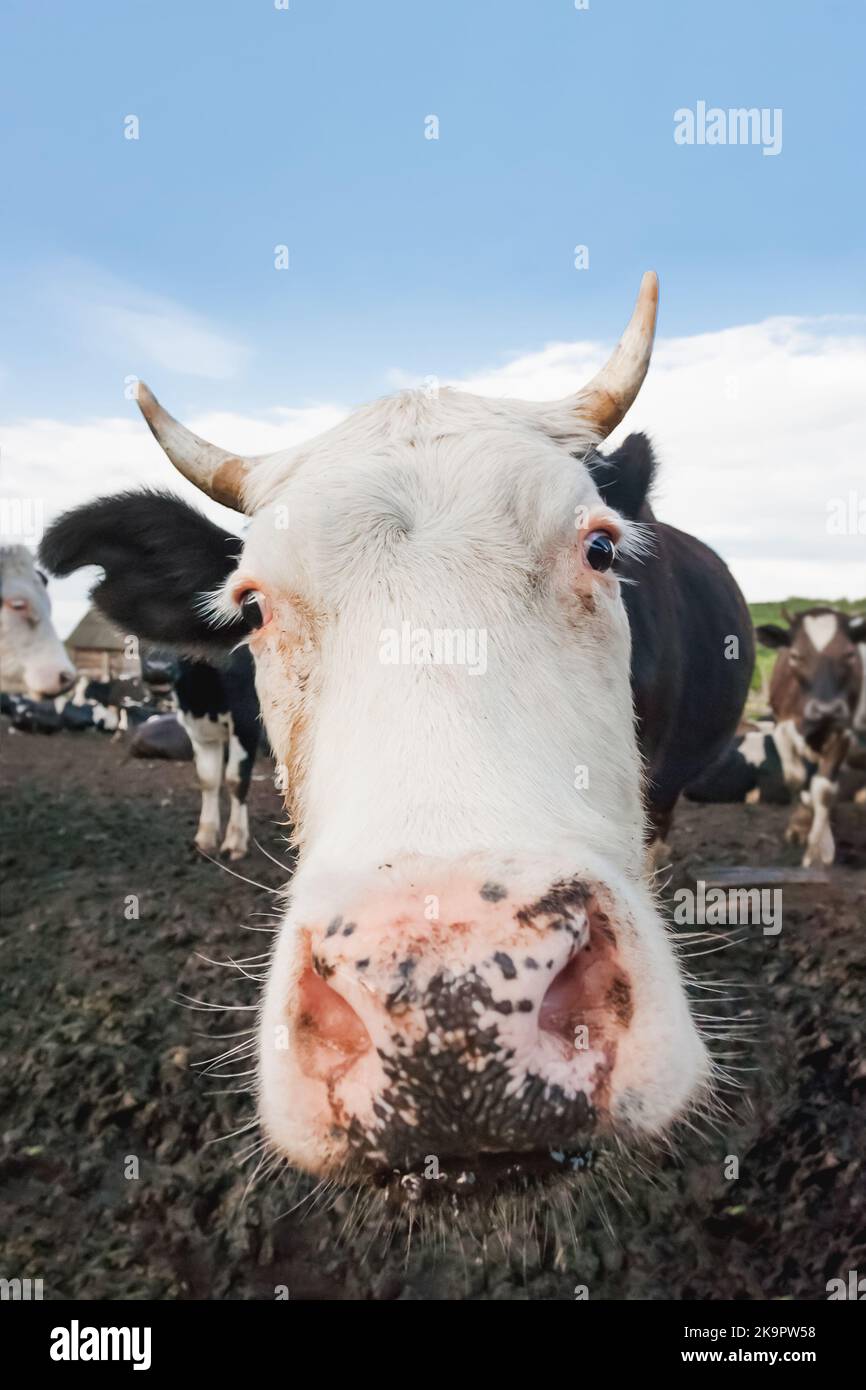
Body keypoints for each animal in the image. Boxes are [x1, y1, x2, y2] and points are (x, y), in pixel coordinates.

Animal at [755, 607, 866, 866]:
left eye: (849, 654)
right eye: (795, 655)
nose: (826, 709)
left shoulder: (841, 731)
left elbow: (823, 790)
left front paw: (817, 852)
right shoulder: (782, 727)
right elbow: (796, 778)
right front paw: (800, 824)